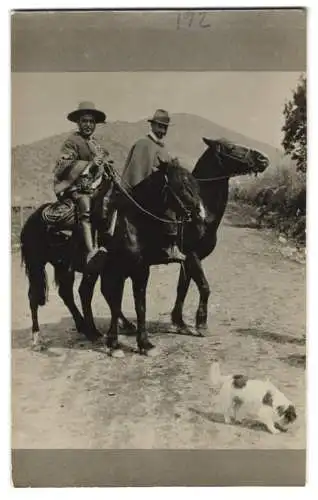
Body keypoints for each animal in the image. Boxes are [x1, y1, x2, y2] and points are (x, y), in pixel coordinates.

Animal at [20, 158, 204, 354]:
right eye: (182, 185)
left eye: (194, 182)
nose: (200, 214)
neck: (131, 223)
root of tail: (32, 217)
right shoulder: (115, 272)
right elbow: (115, 303)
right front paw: (114, 344)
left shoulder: (140, 271)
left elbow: (140, 306)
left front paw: (144, 344)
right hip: (36, 265)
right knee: (34, 297)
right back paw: (37, 339)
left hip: (66, 266)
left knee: (72, 294)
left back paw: (90, 330)